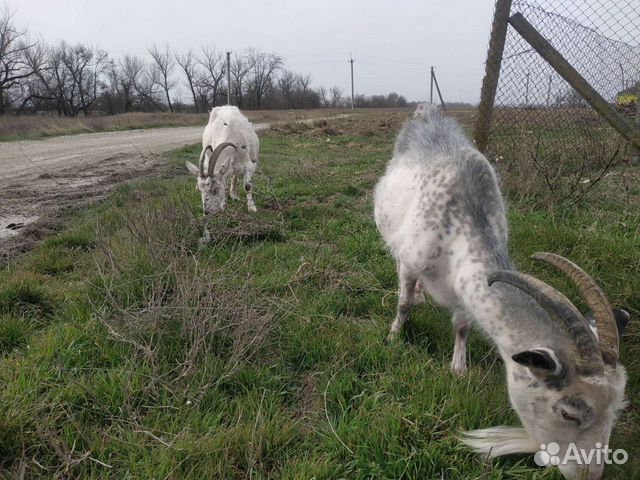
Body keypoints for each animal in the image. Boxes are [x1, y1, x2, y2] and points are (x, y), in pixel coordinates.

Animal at [373, 104, 628, 479]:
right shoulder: (410, 261)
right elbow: (404, 301)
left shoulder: (468, 287)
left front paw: (458, 367)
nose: (590, 475)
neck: (459, 226)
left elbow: (462, 325)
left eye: (617, 408)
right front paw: (394, 336)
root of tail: (428, 112)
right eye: (569, 412)